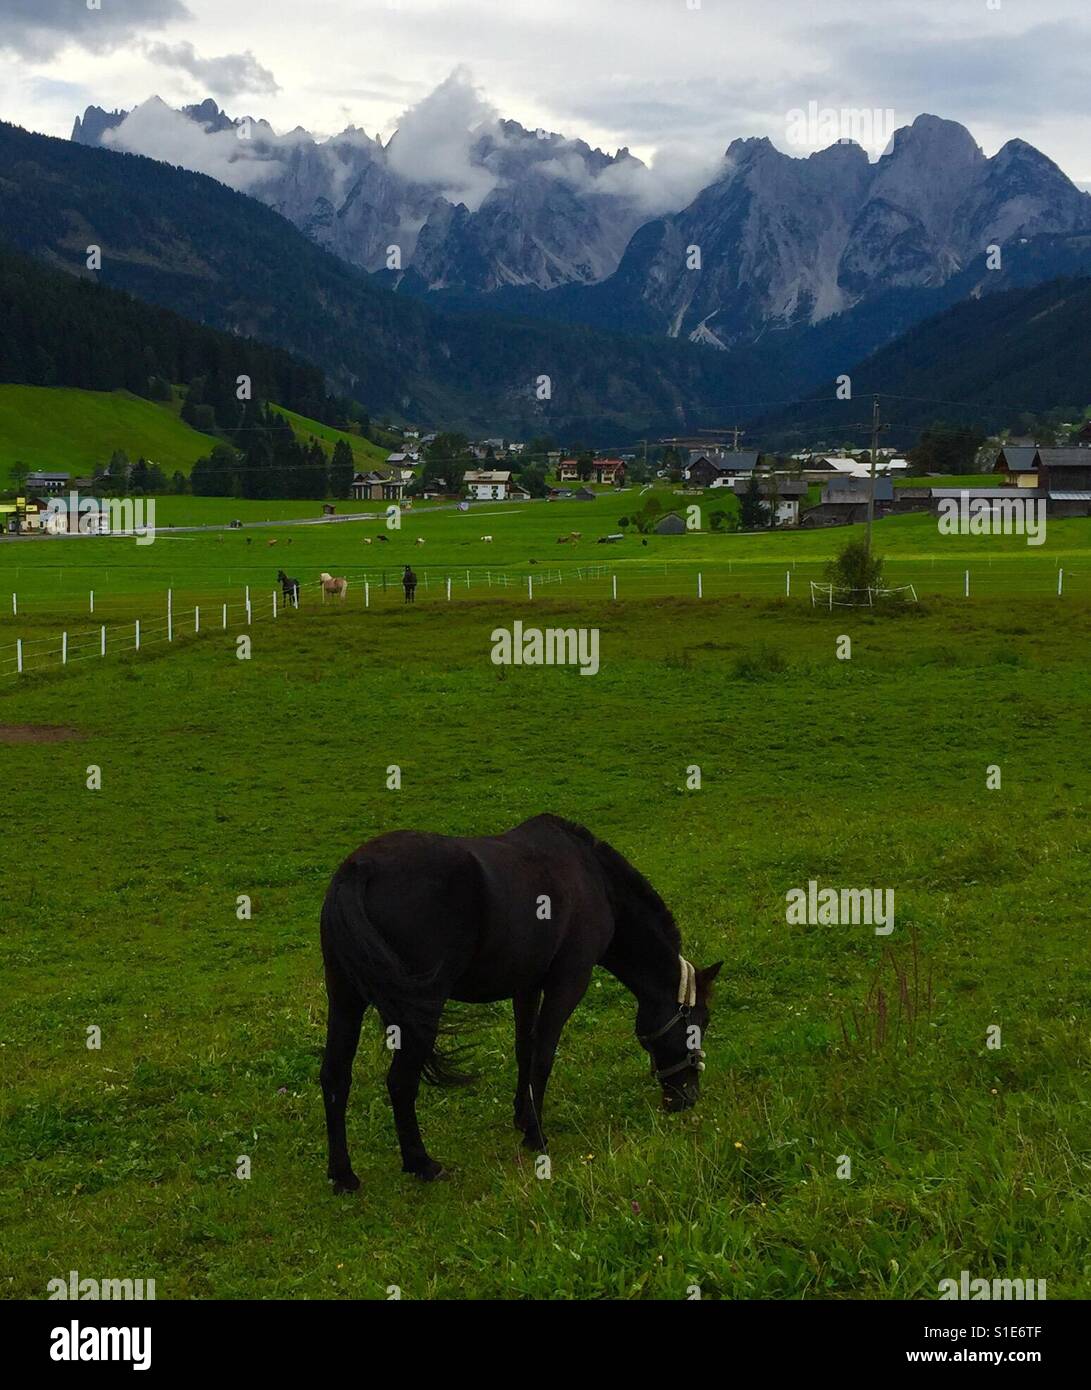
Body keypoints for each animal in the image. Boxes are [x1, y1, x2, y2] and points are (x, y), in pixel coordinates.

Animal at [319, 814, 721, 1190]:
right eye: (698, 1022)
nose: (688, 1098)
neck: (593, 880)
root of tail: (360, 868)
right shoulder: (567, 984)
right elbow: (543, 1055)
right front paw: (535, 1134)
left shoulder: (526, 986)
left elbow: (524, 1050)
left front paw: (522, 1116)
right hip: (420, 1010)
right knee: (401, 1082)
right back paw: (421, 1163)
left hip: (346, 1001)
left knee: (335, 1077)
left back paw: (343, 1175)